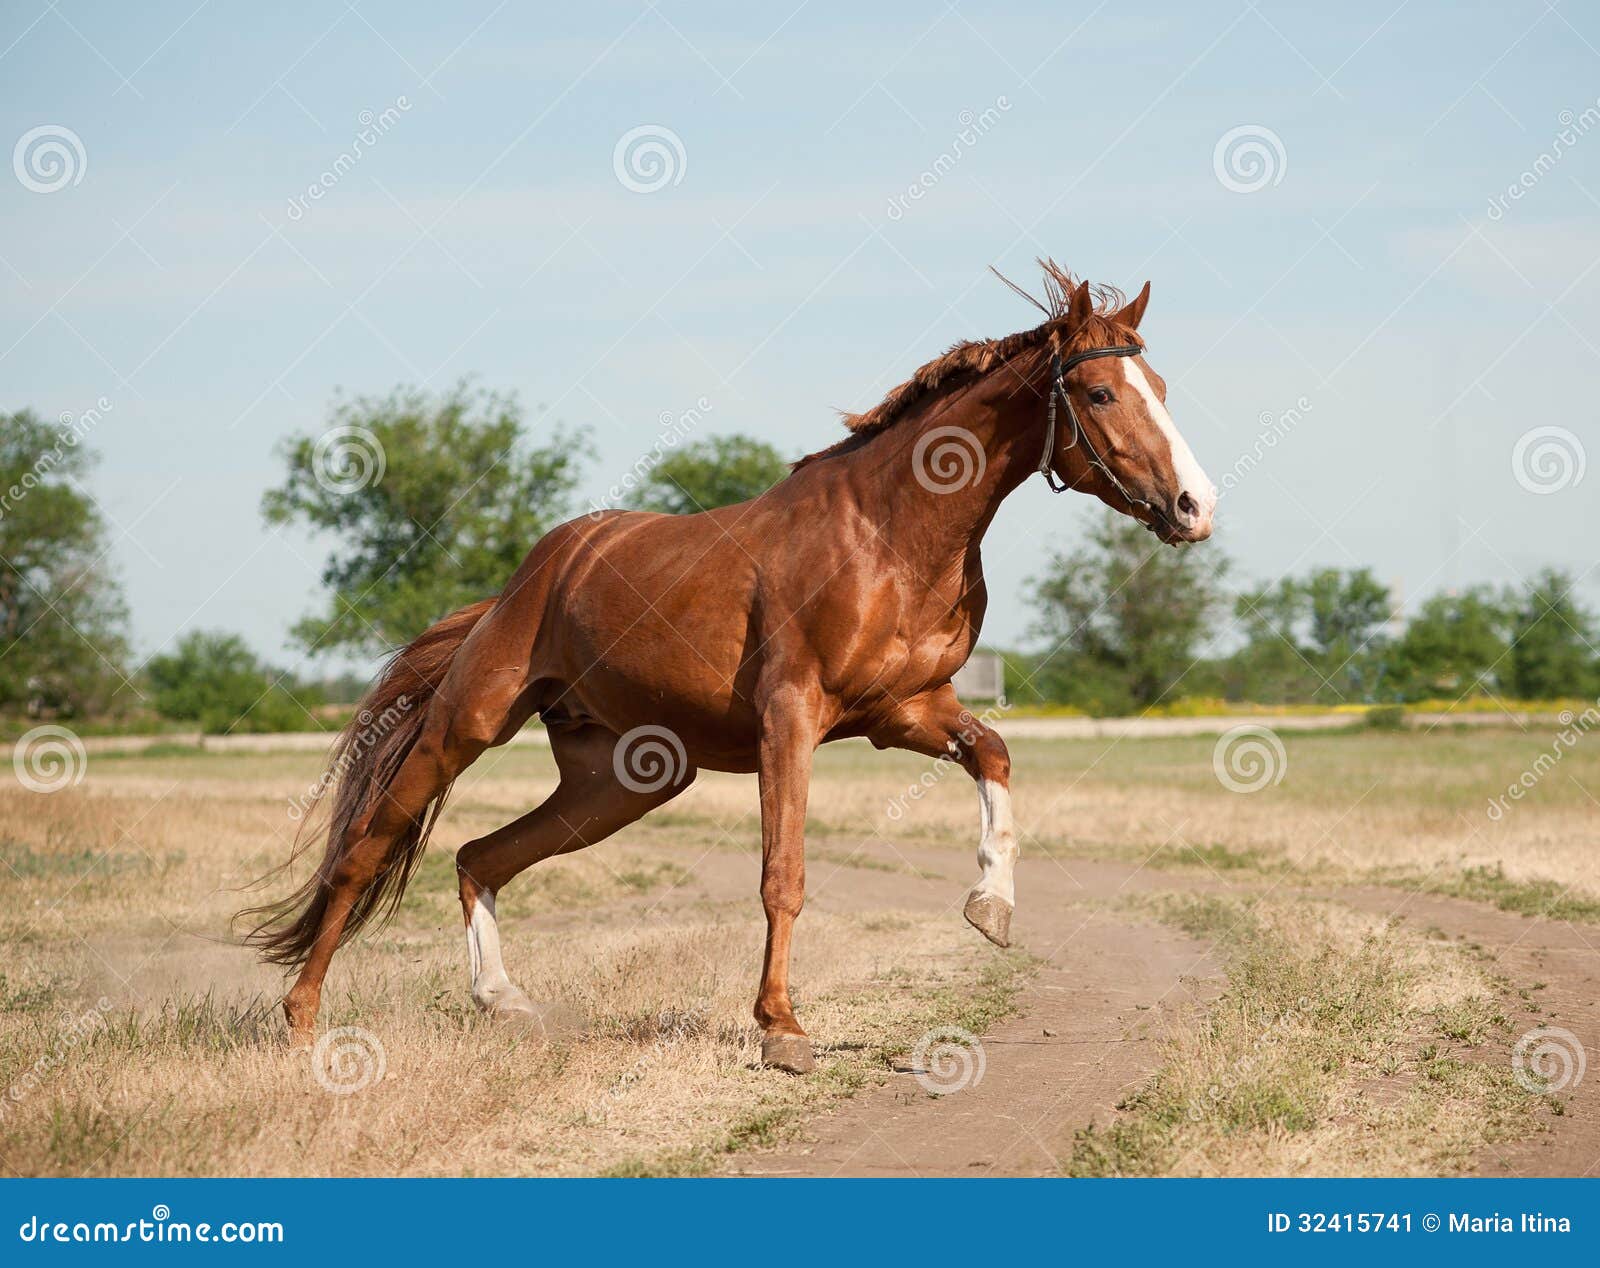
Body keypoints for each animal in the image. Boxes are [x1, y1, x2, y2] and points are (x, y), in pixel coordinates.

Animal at [241, 262, 1217, 1074]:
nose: (1194, 507)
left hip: (622, 782)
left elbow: (995, 757)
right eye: (1099, 389)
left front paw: (992, 908)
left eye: (1164, 388)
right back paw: (301, 1021)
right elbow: (783, 875)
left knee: (480, 855)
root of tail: (528, 578)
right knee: (363, 854)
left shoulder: (904, 712)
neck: (889, 534)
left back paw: (502, 1000)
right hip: (466, 726)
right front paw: (781, 1029)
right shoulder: (792, 718)